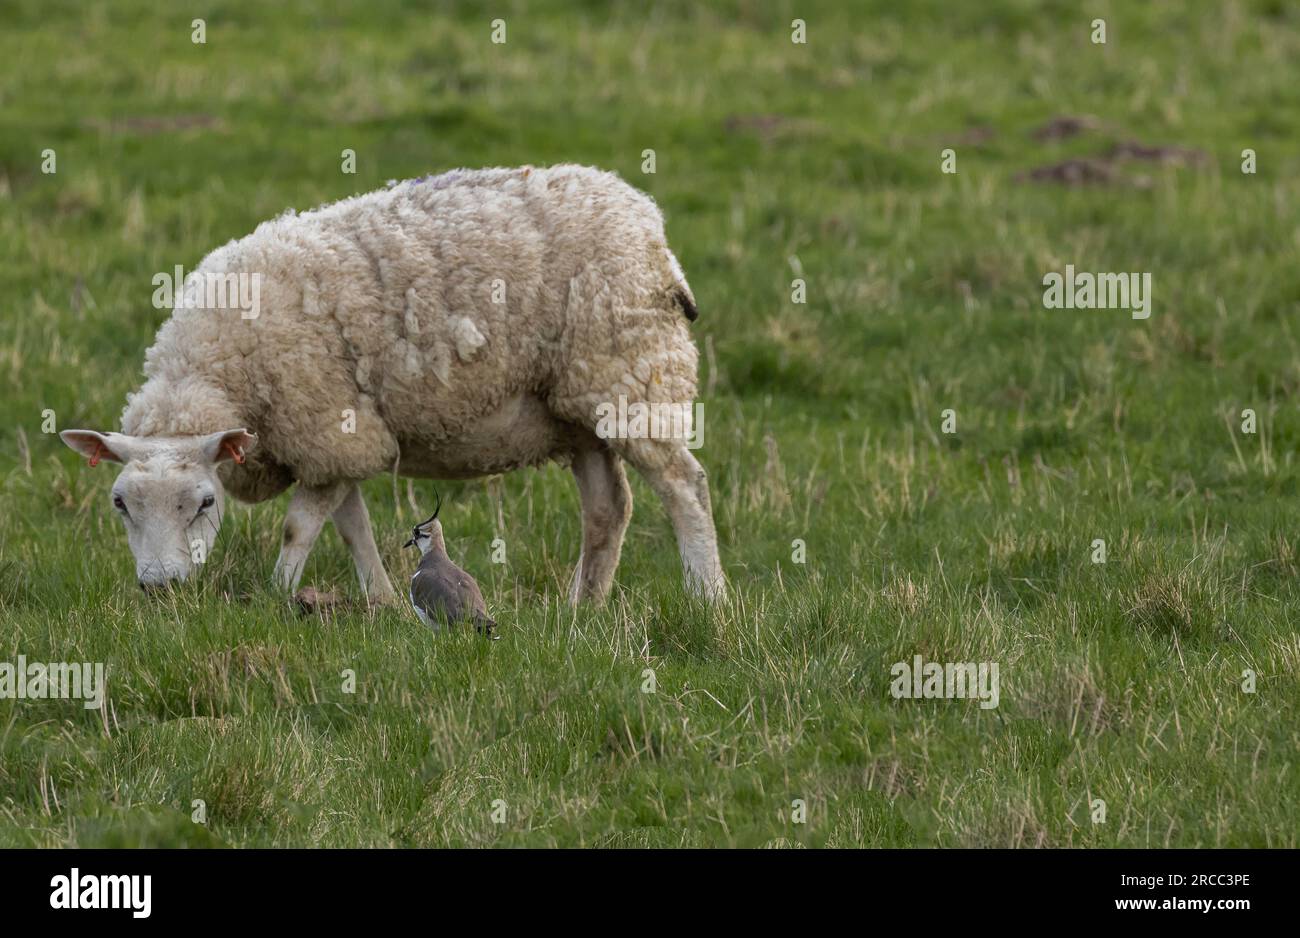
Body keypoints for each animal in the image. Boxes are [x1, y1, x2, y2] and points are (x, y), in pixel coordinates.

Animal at [60, 164, 726, 604]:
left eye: (203, 503)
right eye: (120, 504)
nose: (159, 588)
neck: (219, 365)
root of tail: (646, 219)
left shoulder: (327, 425)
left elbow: (299, 526)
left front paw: (277, 595)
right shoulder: (334, 437)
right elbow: (349, 523)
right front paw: (381, 600)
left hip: (631, 373)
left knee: (683, 486)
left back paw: (708, 597)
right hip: (578, 407)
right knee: (609, 508)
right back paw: (582, 608)